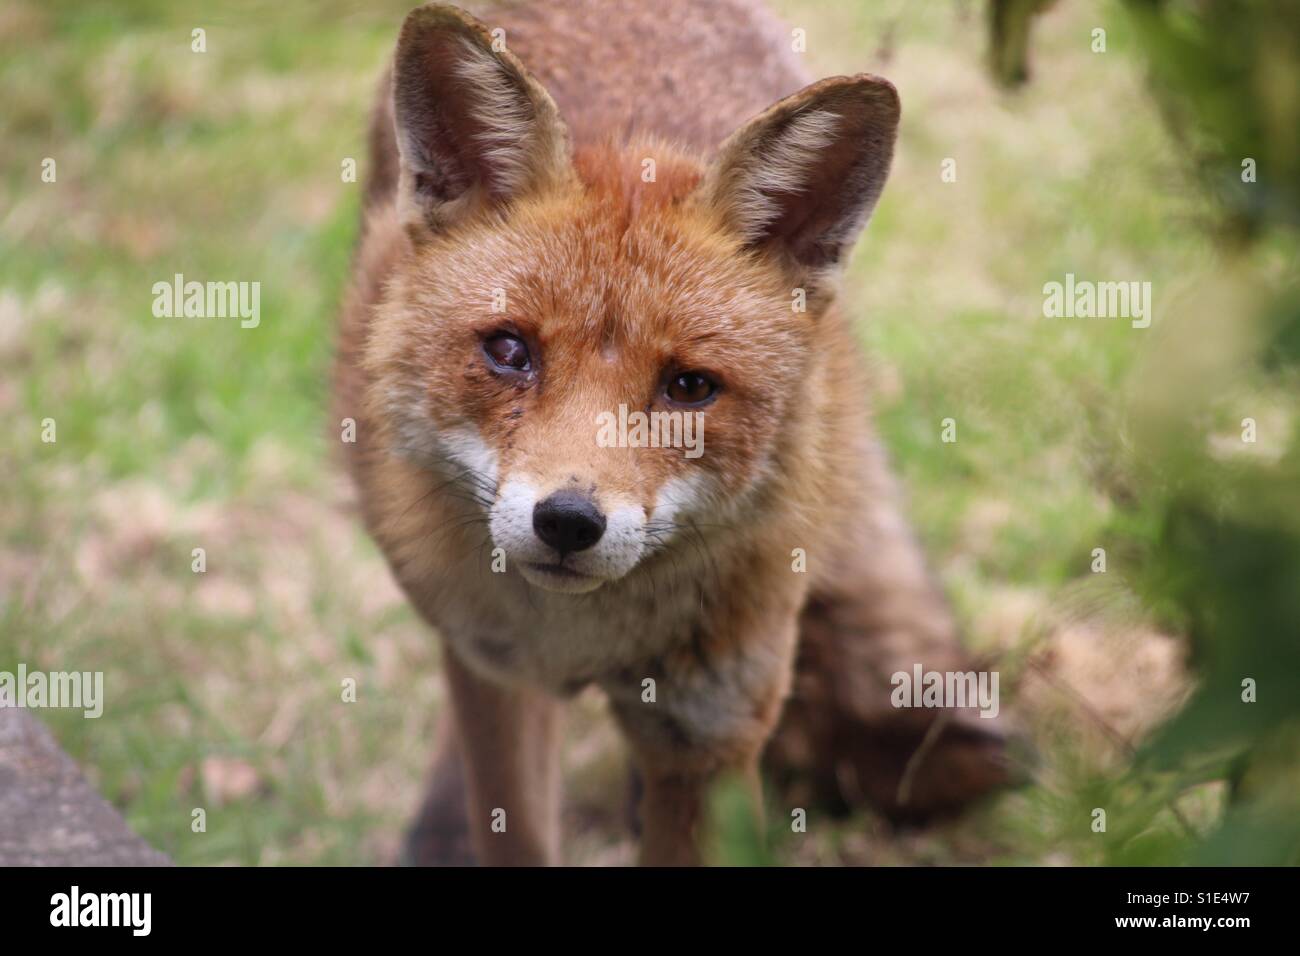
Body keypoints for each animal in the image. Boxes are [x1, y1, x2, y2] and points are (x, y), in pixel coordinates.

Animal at [336, 0, 1011, 866]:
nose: (568, 522)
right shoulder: (502, 679)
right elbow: (514, 826)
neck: (585, 639)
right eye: (510, 352)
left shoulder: (709, 731)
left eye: (689, 387)